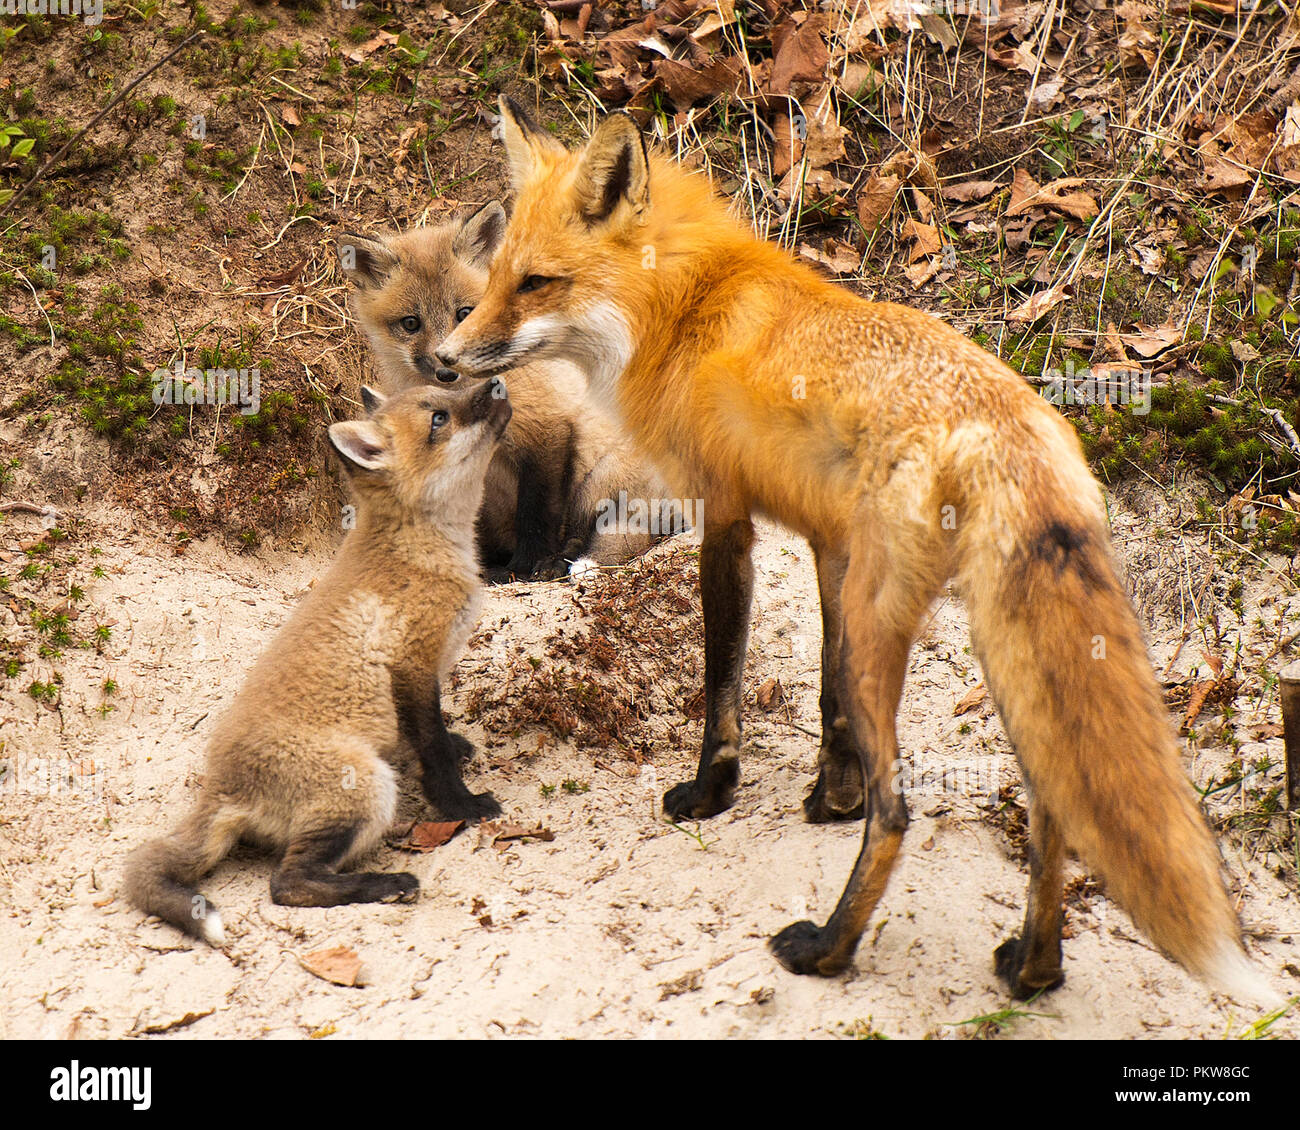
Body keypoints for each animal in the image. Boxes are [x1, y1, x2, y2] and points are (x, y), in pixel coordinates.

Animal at [124, 381, 510, 945]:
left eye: (447, 387)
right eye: (439, 419)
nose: (499, 384)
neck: (422, 552)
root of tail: (220, 787)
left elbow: (427, 738)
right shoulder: (411, 667)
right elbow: (434, 751)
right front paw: (463, 806)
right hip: (366, 787)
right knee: (289, 884)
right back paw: (387, 884)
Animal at [339, 208, 674, 581]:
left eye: (465, 313)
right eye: (410, 323)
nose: (446, 370)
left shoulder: (546, 431)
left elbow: (537, 512)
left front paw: (527, 565)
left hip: (598, 479)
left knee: (599, 534)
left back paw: (560, 562)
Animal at [432, 96, 1282, 1005]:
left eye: (536, 283)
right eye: (494, 280)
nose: (443, 361)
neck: (687, 306)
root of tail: (1010, 422)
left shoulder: (725, 515)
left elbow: (723, 680)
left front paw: (713, 791)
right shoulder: (827, 541)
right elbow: (826, 697)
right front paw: (830, 795)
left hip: (894, 633)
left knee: (901, 810)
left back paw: (828, 948)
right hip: (996, 645)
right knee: (1051, 803)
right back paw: (1035, 965)